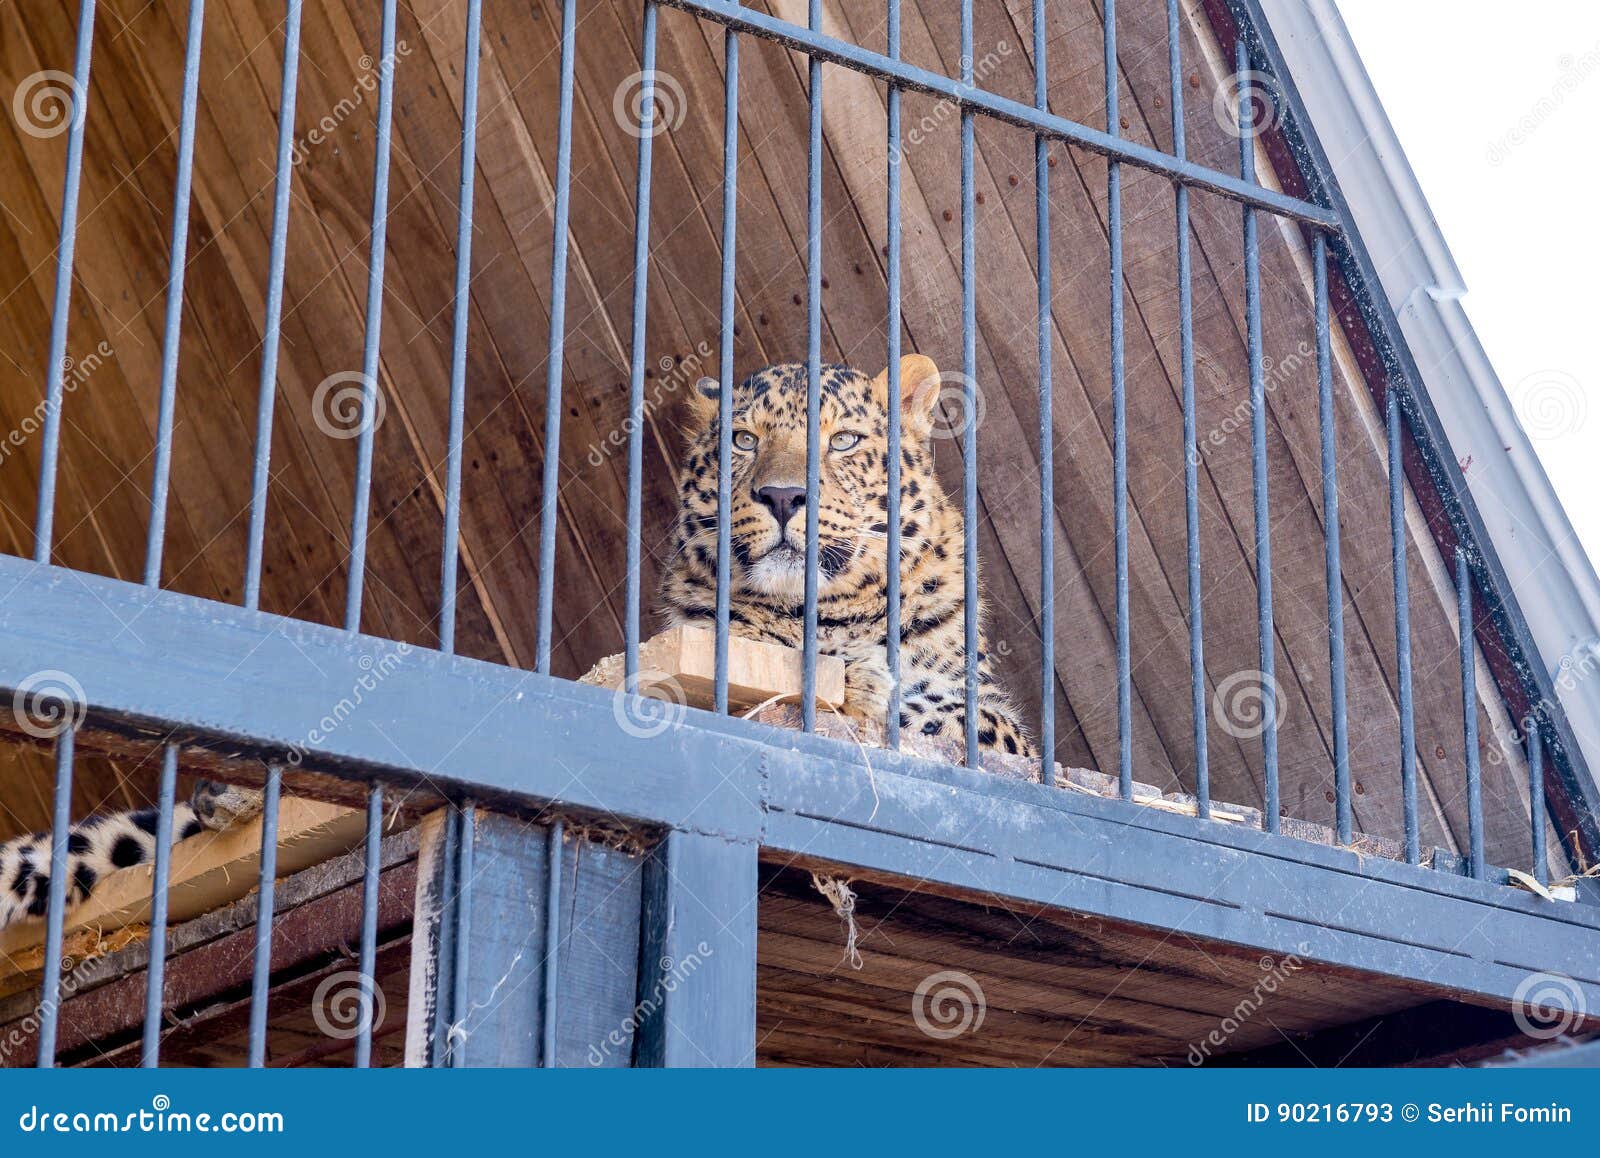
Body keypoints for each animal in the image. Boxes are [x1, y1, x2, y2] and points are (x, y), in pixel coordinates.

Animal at [658, 354, 1035, 760]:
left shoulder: (997, 718)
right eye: (743, 440)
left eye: (843, 440)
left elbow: (948, 716)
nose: (782, 497)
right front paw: (863, 680)